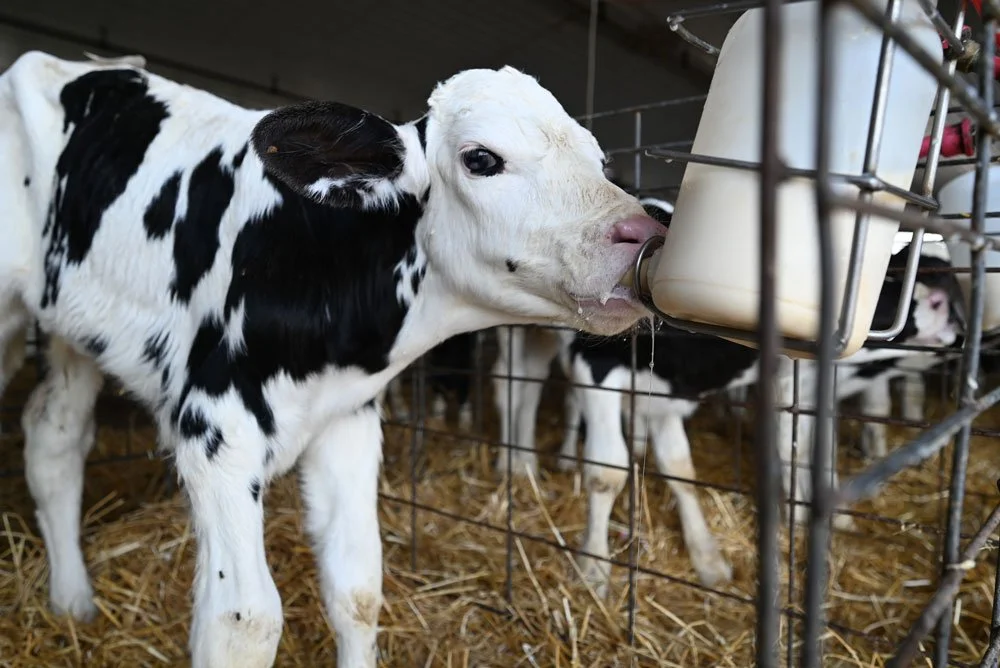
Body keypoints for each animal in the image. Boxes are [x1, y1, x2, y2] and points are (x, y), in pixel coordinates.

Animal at [0, 51, 668, 668]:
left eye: (599, 161)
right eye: (481, 158)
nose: (642, 233)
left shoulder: (348, 418)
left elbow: (358, 589)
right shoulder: (216, 429)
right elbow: (243, 622)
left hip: (73, 327)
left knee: (53, 437)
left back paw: (72, 601)